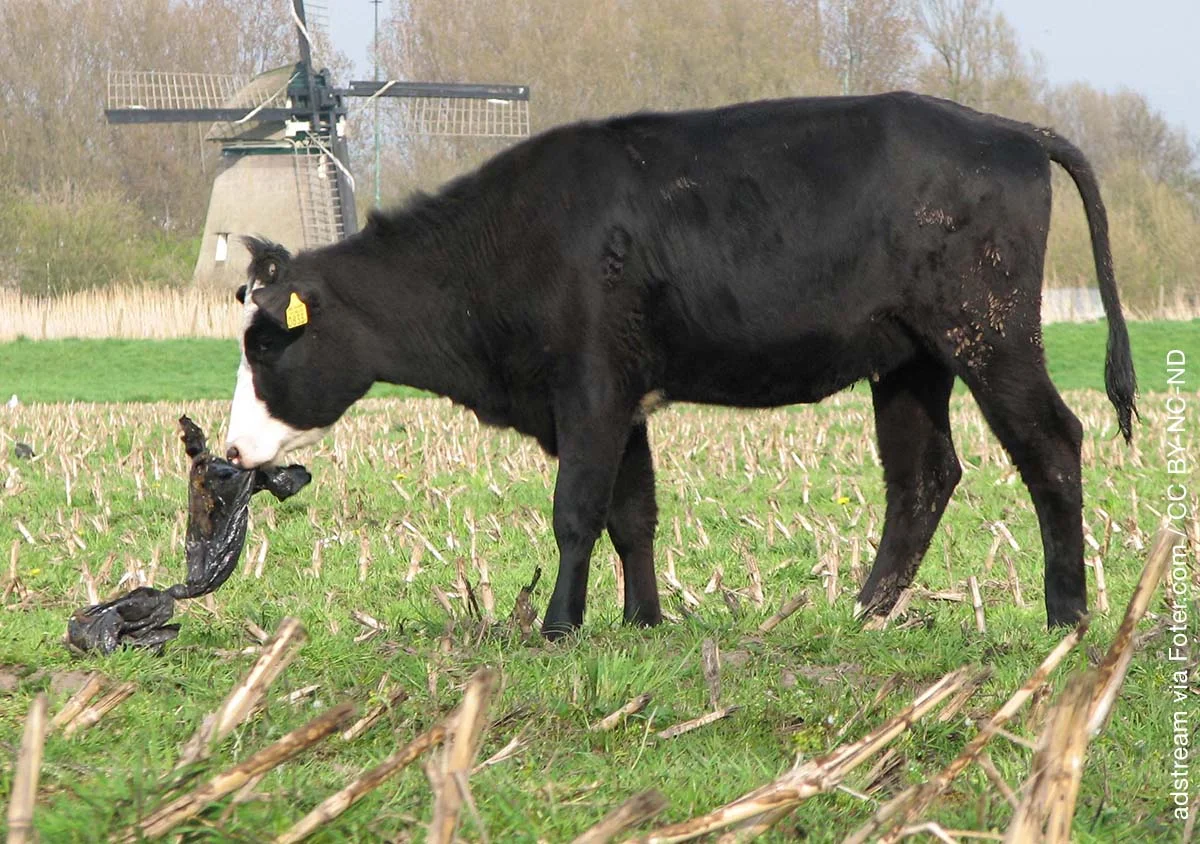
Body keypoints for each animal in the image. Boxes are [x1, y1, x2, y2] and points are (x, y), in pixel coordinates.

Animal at [225, 91, 1136, 640]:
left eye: (266, 343)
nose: (230, 452)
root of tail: (1011, 129)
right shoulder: (622, 399)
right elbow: (633, 514)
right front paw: (644, 621)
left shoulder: (590, 390)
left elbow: (576, 511)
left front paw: (558, 628)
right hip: (910, 359)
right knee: (923, 477)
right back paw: (864, 612)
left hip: (990, 334)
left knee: (1052, 444)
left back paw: (1066, 615)